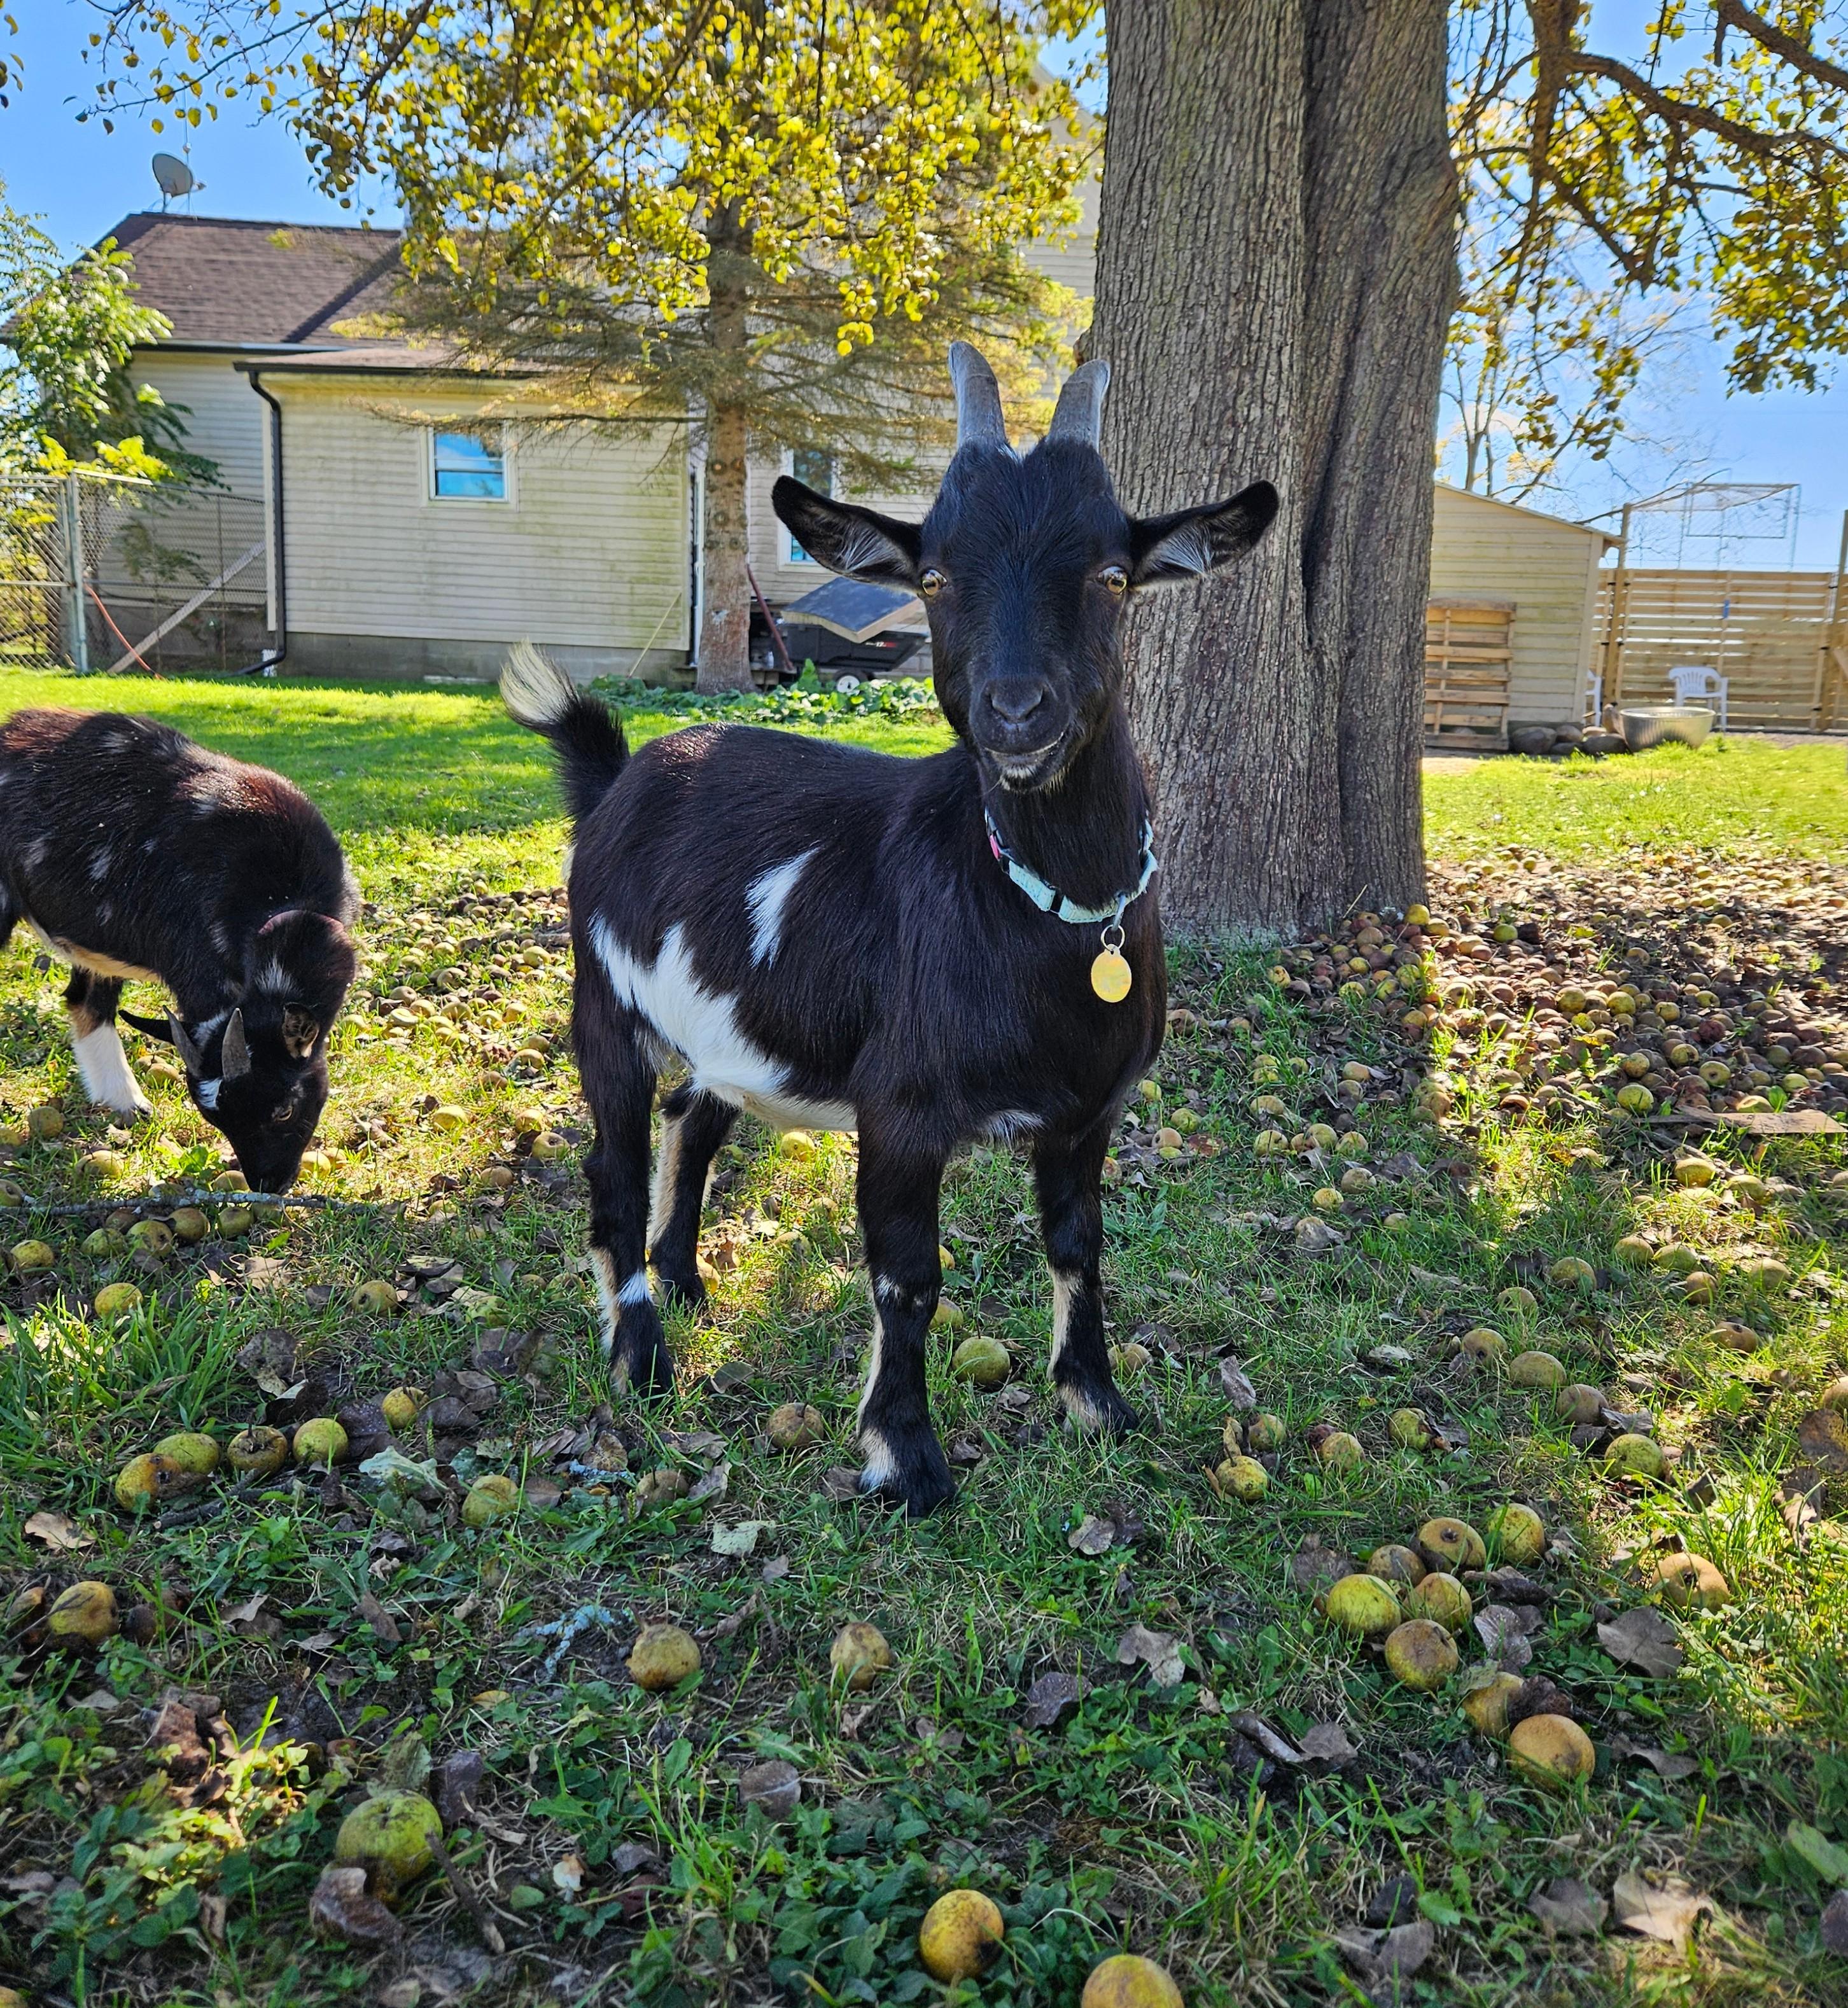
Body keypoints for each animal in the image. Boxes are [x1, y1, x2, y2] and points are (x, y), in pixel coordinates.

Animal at [0, 707, 359, 1192]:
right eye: (216, 1121)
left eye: (284, 1109)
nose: (268, 1184)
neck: (285, 903)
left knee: (85, 1001)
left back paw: (123, 1101)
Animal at [503, 344, 1277, 1515]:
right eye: (935, 577)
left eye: (1111, 578)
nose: (1018, 711)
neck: (1036, 910)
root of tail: (619, 777)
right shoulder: (902, 1111)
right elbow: (908, 1277)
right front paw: (903, 1455)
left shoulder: (1087, 1113)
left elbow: (1078, 1246)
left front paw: (1096, 1402)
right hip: (603, 1004)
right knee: (613, 1168)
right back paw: (640, 1351)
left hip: (730, 1026)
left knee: (694, 1120)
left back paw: (683, 1281)